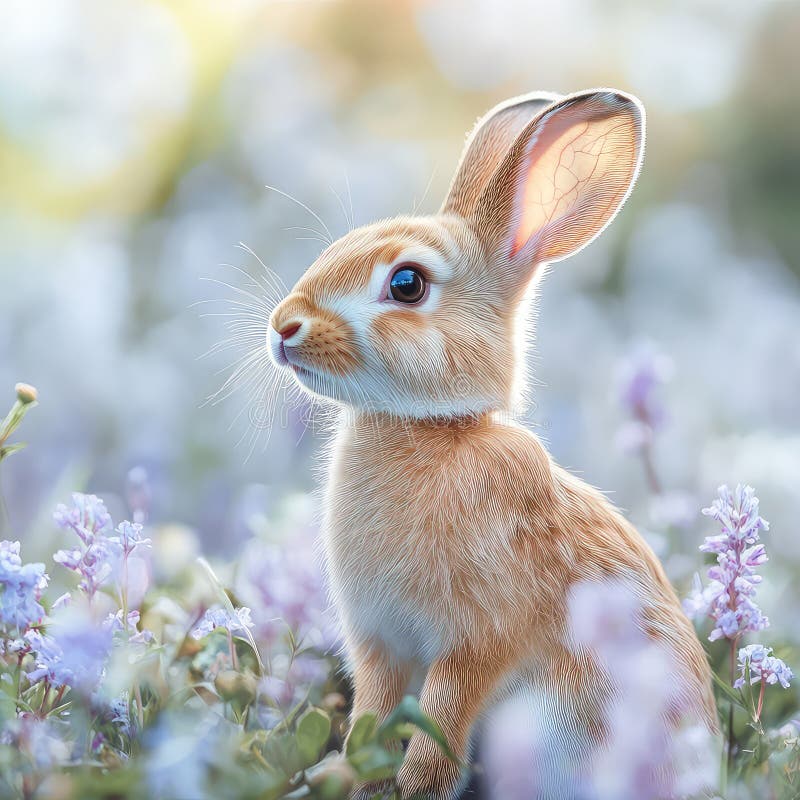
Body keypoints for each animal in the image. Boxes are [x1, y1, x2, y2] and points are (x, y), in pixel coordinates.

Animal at [267, 89, 718, 799]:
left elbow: (438, 730)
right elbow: (373, 717)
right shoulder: (382, 648)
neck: (428, 426)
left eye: (406, 284)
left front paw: (409, 789)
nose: (283, 327)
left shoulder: (475, 642)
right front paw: (346, 775)